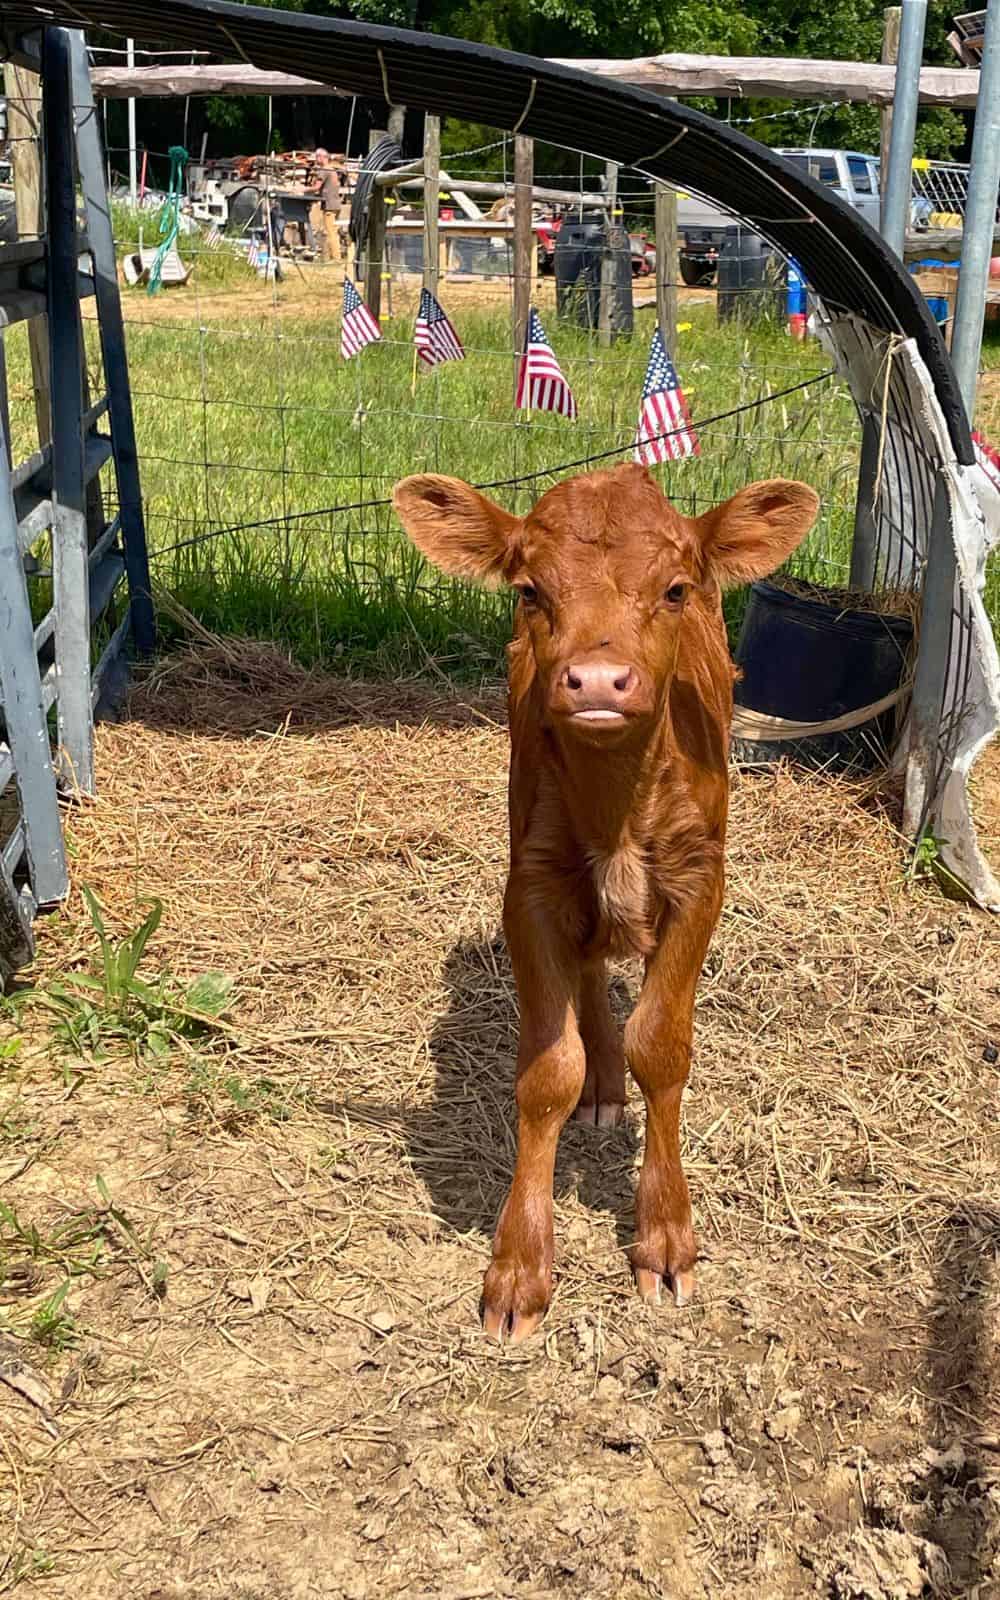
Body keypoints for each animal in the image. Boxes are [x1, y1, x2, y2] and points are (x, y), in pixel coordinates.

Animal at [393, 463, 818, 1342]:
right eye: (529, 591)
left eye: (676, 589)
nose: (594, 680)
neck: (617, 804)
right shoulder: (530, 887)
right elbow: (547, 1070)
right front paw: (519, 1266)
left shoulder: (700, 882)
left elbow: (661, 1044)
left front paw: (666, 1234)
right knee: (590, 976)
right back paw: (602, 1089)